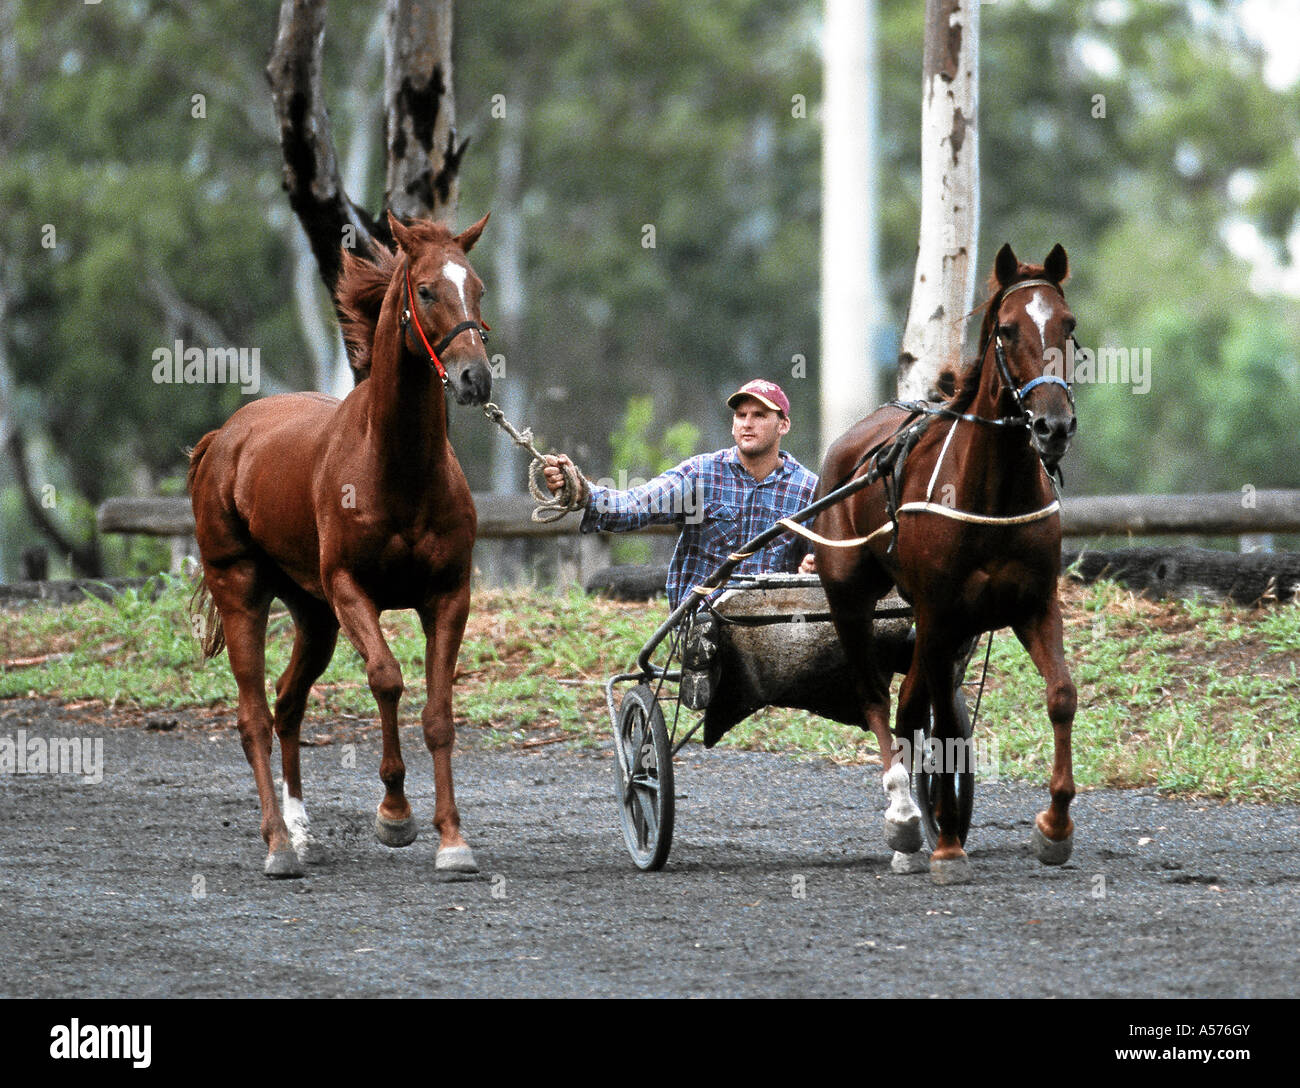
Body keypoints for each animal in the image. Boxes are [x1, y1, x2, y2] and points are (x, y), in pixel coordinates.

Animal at [187, 212, 492, 878]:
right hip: (242, 591)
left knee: (287, 704)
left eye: (477, 288)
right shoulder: (352, 590)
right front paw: (395, 814)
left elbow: (438, 714)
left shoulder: (448, 596)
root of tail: (224, 438)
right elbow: (386, 679)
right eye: (426, 289)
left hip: (314, 616)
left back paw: (301, 830)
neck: (396, 469)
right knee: (253, 715)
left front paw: (452, 840)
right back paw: (279, 845)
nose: (475, 378)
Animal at [813, 243, 1078, 884]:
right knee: (878, 699)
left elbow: (1060, 696)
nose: (1053, 426)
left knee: (911, 706)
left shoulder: (1032, 604)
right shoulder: (940, 612)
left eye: (1068, 324)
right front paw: (949, 843)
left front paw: (1054, 828)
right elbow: (943, 722)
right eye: (1007, 330)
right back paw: (906, 816)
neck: (994, 491)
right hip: (850, 597)